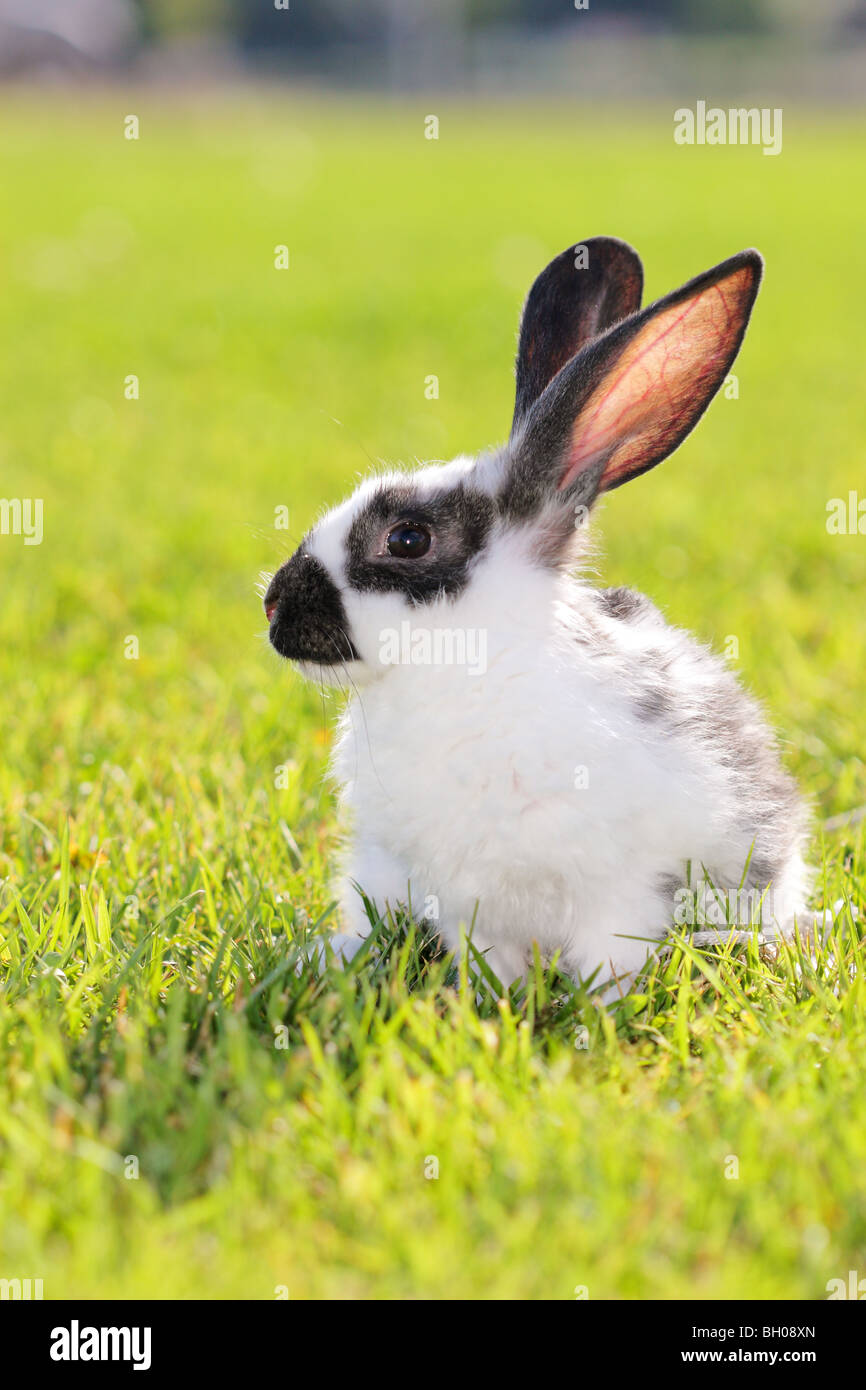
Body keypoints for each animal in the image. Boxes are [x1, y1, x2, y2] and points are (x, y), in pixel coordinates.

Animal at [263, 237, 812, 995]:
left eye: (406, 540)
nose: (273, 606)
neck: (471, 666)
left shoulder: (625, 892)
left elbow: (613, 962)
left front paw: (596, 1011)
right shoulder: (465, 902)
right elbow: (485, 958)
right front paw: (492, 1001)